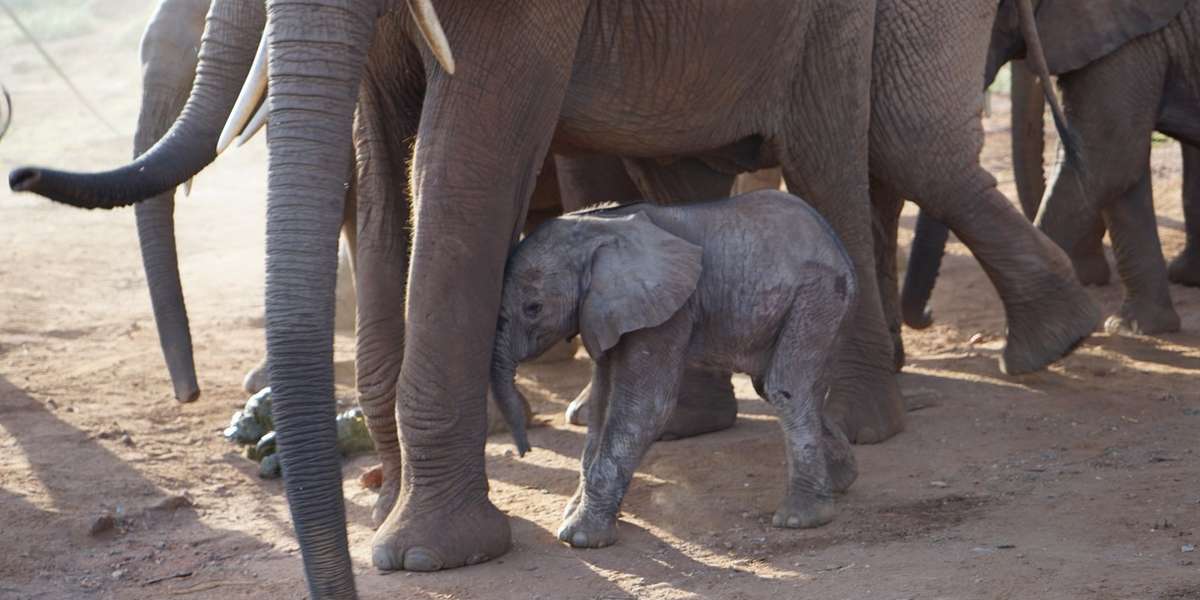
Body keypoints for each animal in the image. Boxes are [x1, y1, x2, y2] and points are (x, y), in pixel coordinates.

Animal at [490, 191, 859, 548]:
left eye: (534, 308)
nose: (524, 451)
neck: (601, 227)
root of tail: (837, 246)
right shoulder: (604, 312)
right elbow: (601, 407)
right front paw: (574, 513)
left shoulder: (668, 312)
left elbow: (643, 408)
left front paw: (579, 537)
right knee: (783, 387)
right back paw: (839, 482)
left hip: (816, 296)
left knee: (785, 388)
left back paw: (801, 518)